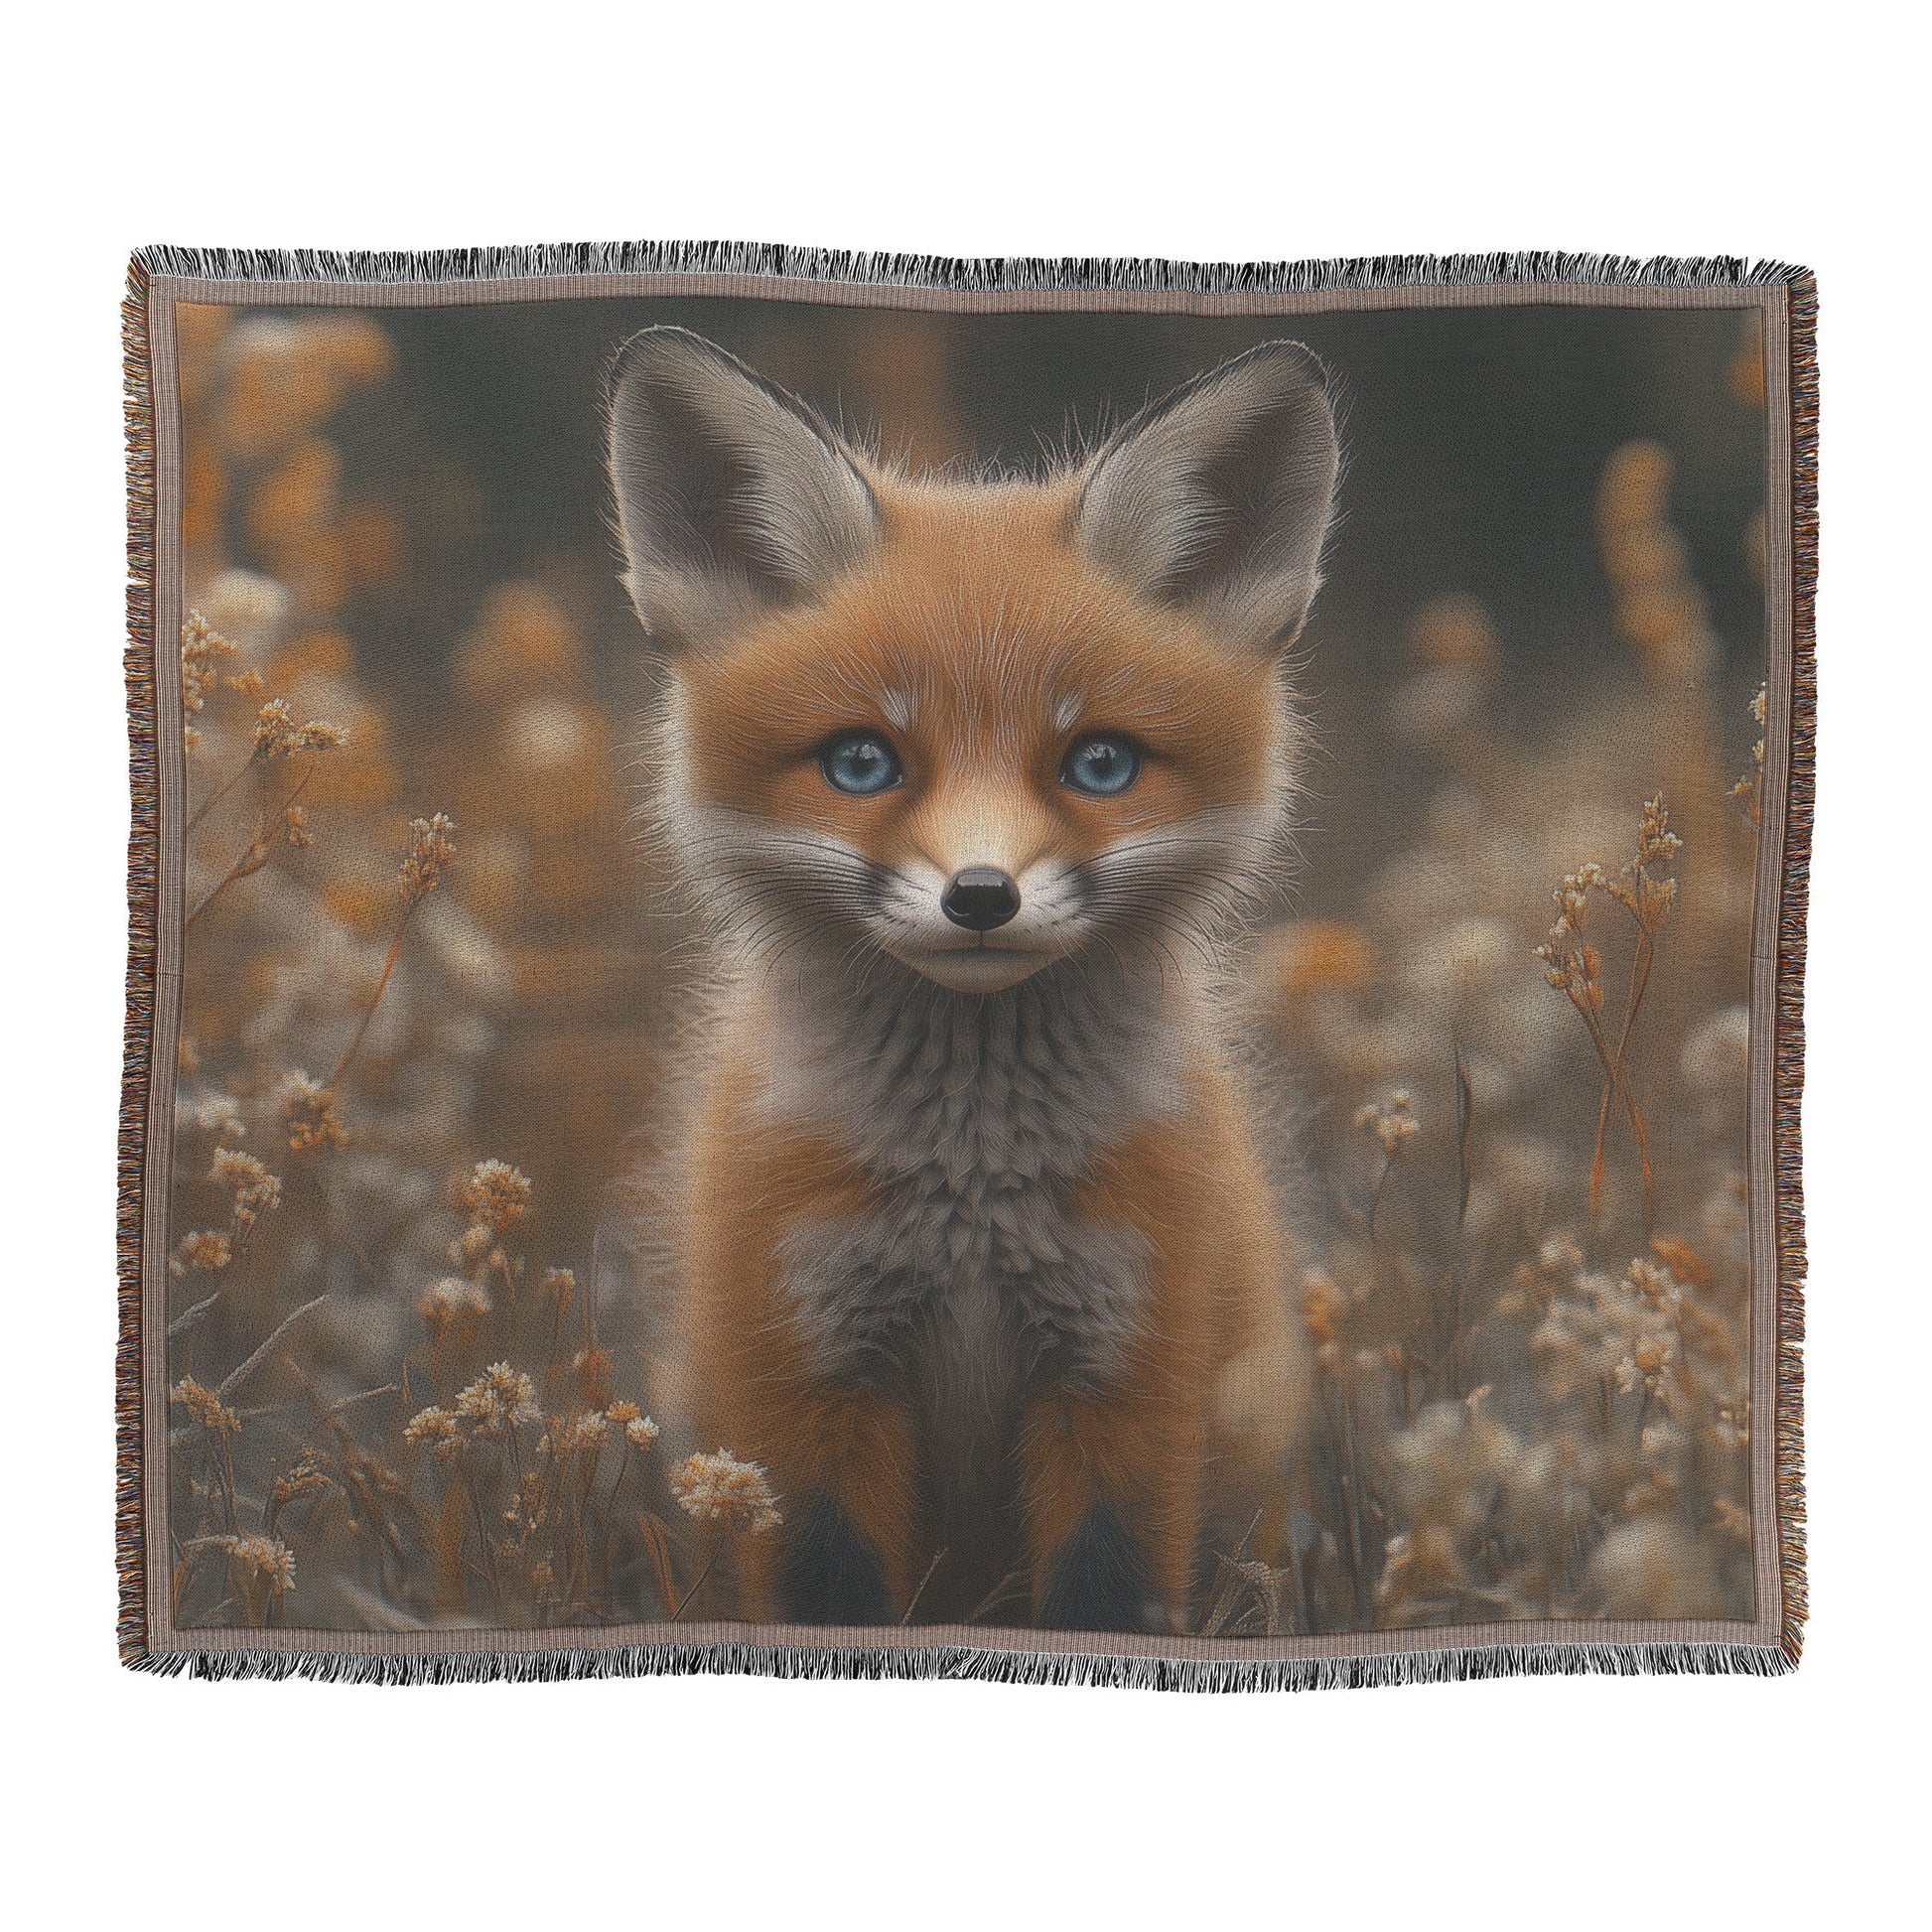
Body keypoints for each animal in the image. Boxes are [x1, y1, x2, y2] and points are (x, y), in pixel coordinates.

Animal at [605, 324, 1340, 1634]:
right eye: (861, 760)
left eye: (1098, 763)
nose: (981, 896)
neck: (970, 1195)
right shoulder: (801, 1381)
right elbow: (826, 1593)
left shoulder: (1128, 1376)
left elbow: (1106, 1598)